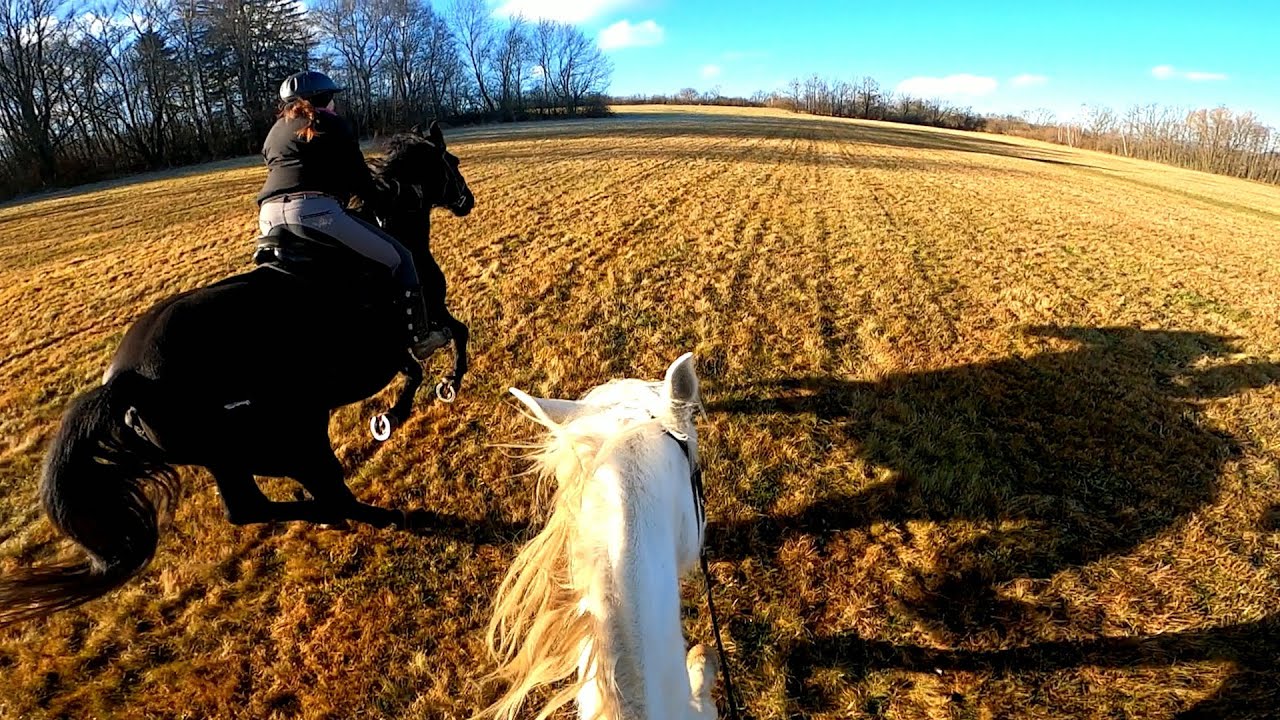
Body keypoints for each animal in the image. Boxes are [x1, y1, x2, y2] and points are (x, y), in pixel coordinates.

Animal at [0, 121, 474, 626]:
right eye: (451, 162)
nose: (467, 201)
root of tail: (124, 382)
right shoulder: (411, 331)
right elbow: (448, 343)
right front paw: (435, 393)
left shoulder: (386, 354)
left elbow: (419, 366)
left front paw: (396, 414)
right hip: (283, 432)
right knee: (308, 490)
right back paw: (386, 515)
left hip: (232, 453)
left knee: (255, 504)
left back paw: (334, 512)